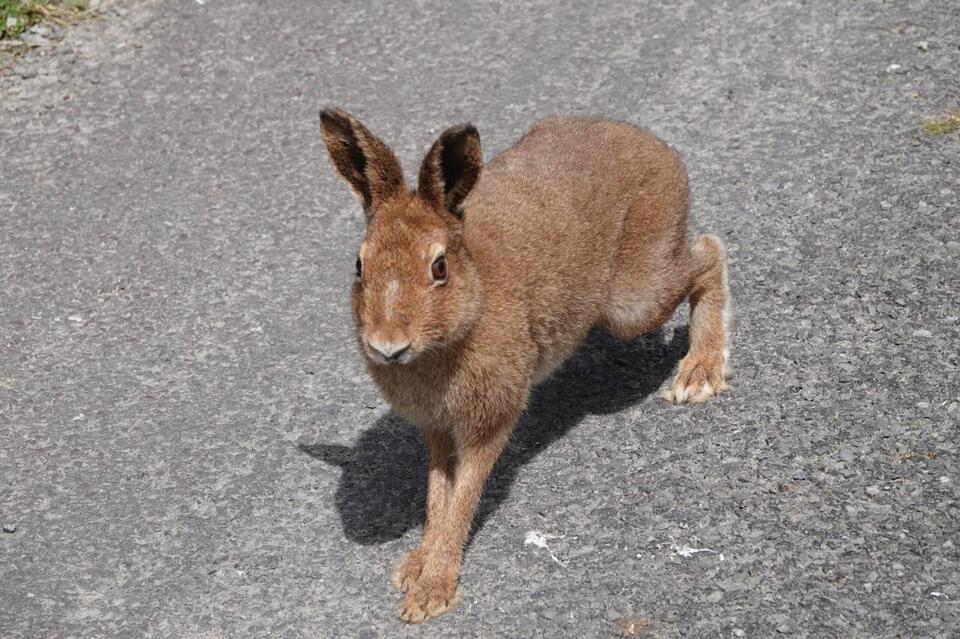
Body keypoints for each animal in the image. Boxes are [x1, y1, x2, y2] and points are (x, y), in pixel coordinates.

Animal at [318, 108, 731, 623]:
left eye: (439, 268)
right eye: (359, 266)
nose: (387, 346)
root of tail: (657, 148)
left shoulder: (489, 421)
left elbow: (463, 498)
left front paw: (431, 592)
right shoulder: (437, 427)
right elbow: (437, 496)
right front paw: (415, 566)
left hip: (635, 299)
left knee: (709, 254)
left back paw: (701, 372)